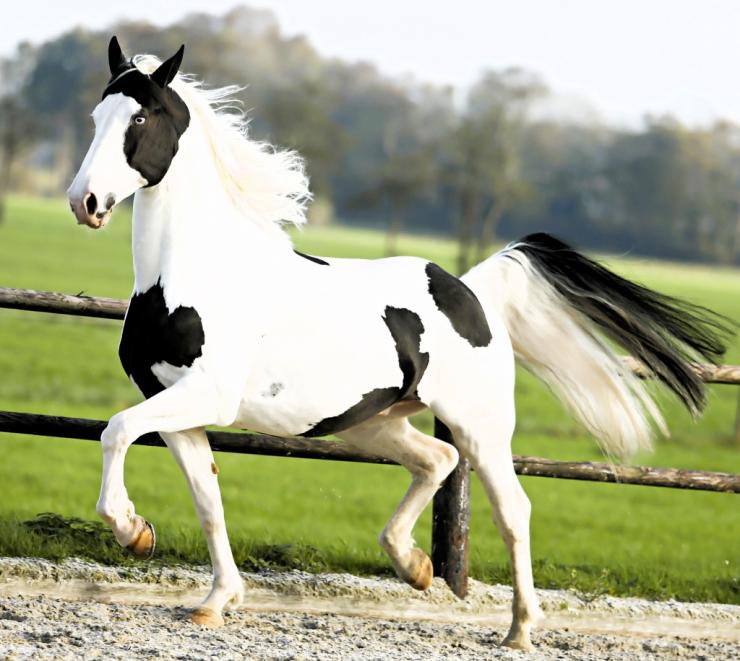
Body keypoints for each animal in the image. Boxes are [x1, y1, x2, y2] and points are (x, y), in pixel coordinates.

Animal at [66, 37, 729, 650]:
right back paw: (414, 566)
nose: (84, 202)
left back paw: (519, 629)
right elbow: (206, 497)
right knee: (437, 461)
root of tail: (471, 290)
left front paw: (130, 529)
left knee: (511, 508)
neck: (194, 274)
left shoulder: (207, 395)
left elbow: (116, 430)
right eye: (95, 116)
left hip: (480, 425)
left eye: (139, 120)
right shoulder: (175, 404)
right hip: (372, 422)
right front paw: (208, 597)